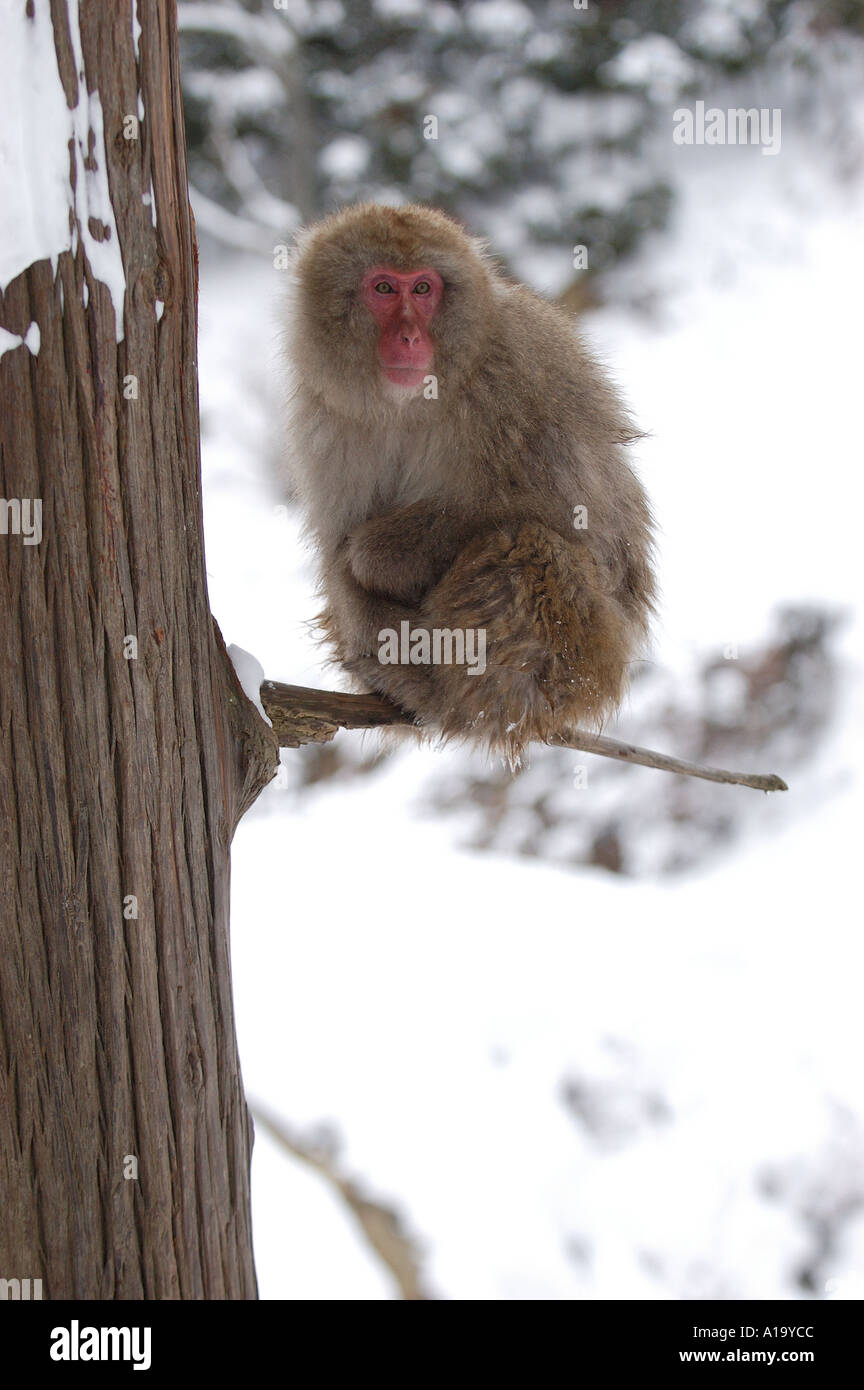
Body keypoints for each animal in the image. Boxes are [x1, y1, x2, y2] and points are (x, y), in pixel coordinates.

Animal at [282, 202, 656, 763]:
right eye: (384, 288)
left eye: (423, 289)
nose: (410, 337)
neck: (409, 405)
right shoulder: (324, 419)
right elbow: (335, 554)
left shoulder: (515, 375)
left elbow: (576, 513)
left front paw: (380, 555)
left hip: (585, 660)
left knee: (526, 545)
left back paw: (451, 698)